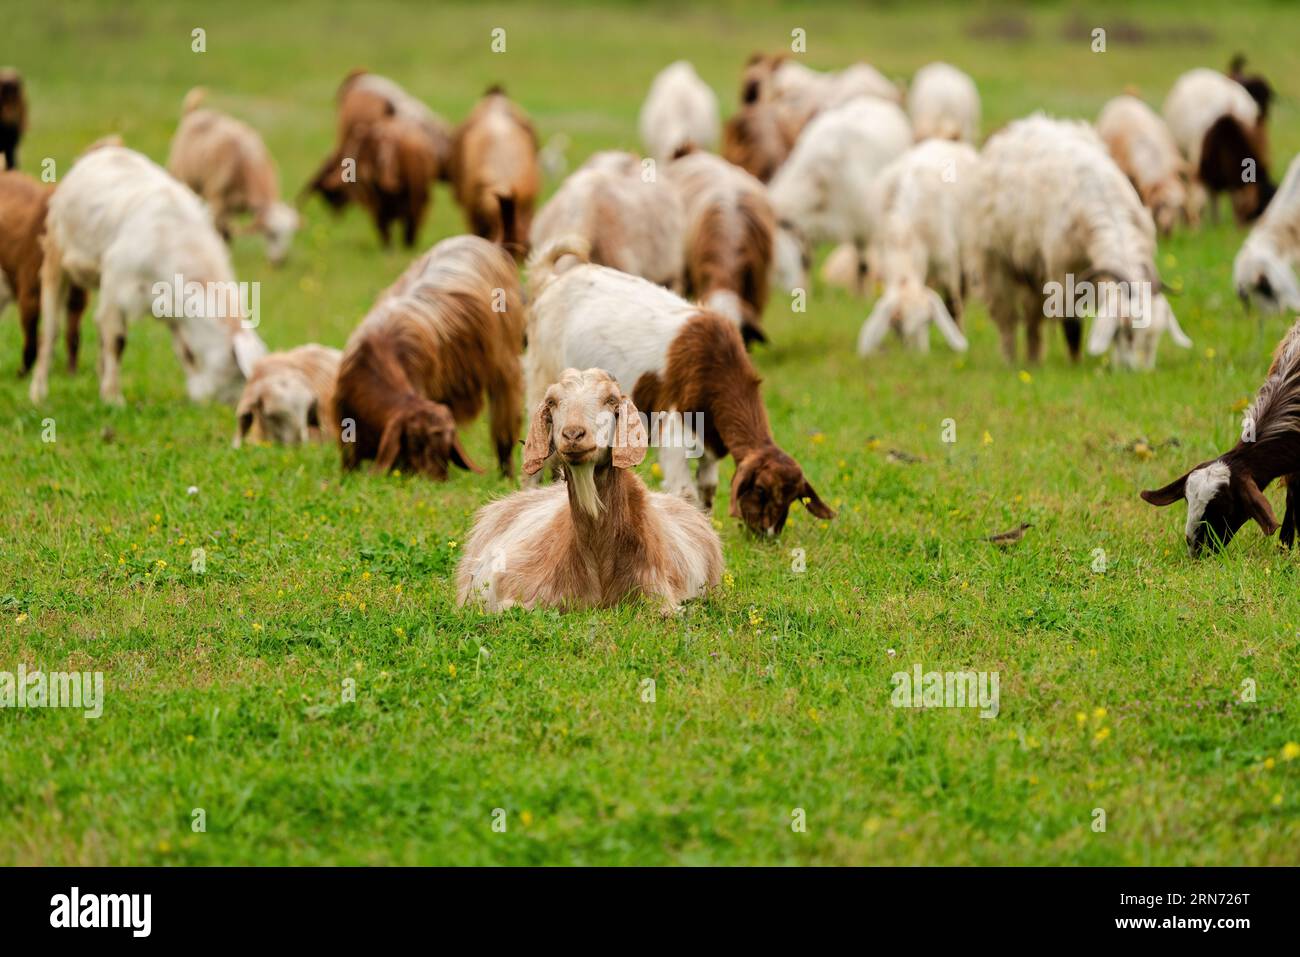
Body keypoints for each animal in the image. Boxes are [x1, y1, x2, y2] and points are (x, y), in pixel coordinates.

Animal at [30, 145, 266, 405]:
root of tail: (105, 149)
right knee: (50, 331)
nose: (239, 407)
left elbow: (183, 349)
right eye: (242, 376)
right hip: (56, 256)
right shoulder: (117, 282)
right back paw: (38, 393)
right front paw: (114, 398)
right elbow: (116, 339)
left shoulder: (172, 305)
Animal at [167, 88, 299, 265]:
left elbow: (228, 235)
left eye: (290, 234)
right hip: (180, 174)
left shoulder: (231, 207)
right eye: (270, 233)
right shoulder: (218, 201)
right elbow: (220, 231)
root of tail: (194, 113)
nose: (280, 263)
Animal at [334, 235, 525, 479]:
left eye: (447, 445)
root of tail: (487, 243)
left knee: (504, 430)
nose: (434, 480)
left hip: (505, 367)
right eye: (414, 440)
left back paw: (506, 476)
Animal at [525, 238, 833, 536]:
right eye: (759, 489)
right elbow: (685, 493)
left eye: (793, 499)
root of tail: (550, 281)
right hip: (542, 378)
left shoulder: (710, 441)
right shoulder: (673, 429)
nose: (766, 535)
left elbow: (708, 489)